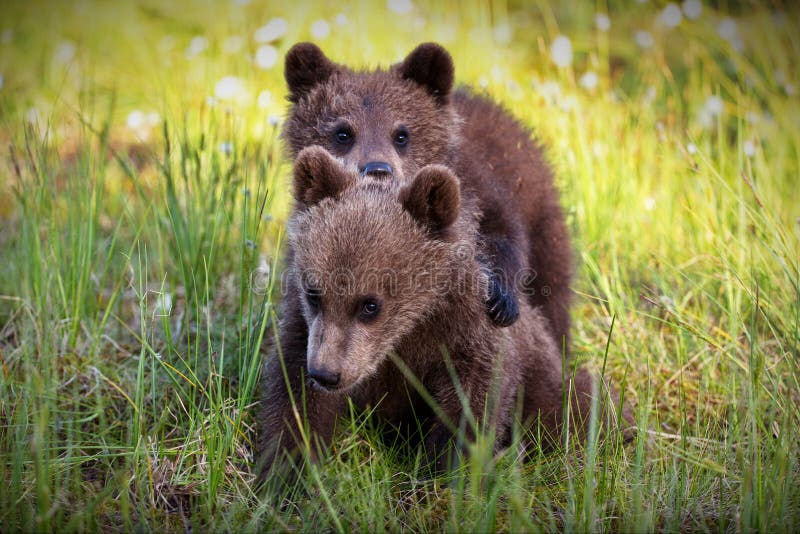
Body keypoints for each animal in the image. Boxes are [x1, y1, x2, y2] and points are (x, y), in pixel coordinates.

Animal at [257, 147, 627, 480]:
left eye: (370, 304)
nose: (326, 373)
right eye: (314, 293)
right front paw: (287, 470)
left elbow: (473, 399)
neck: (413, 325)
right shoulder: (305, 329)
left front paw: (442, 470)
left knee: (577, 407)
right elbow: (295, 395)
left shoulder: (466, 327)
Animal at [281, 41, 573, 343]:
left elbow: (503, 233)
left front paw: (501, 299)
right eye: (342, 133)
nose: (377, 168)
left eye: (401, 134)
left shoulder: (479, 185)